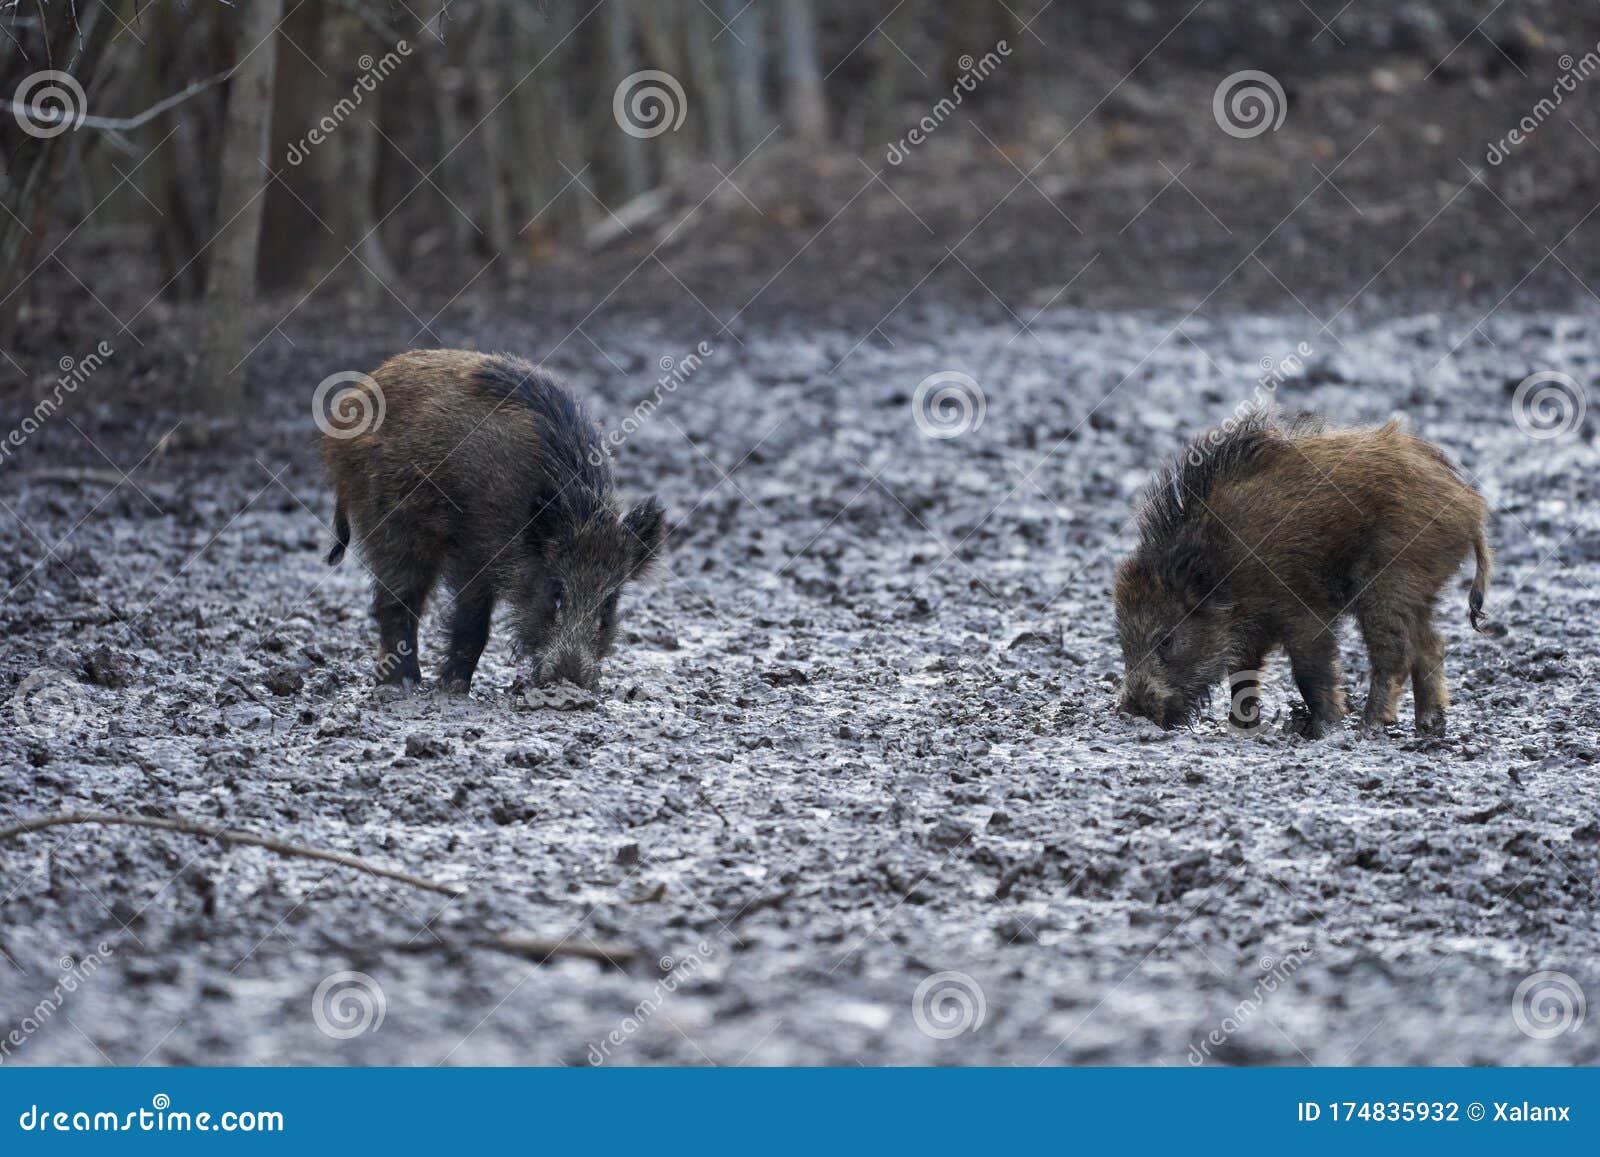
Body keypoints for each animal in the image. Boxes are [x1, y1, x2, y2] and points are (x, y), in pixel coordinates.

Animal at [321, 349, 664, 692]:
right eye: (556, 593)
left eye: (609, 604)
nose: (570, 682)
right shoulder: (474, 550)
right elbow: (473, 622)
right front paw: (453, 688)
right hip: (390, 522)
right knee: (395, 600)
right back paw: (402, 683)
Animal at [1114, 412, 1497, 738]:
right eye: (1123, 638)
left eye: (1165, 640)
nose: (1132, 710)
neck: (1226, 568)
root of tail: (1471, 506)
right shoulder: (1249, 633)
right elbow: (1242, 675)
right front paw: (1240, 729)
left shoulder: (1305, 612)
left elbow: (1311, 671)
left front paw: (1325, 727)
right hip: (1419, 590)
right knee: (1431, 644)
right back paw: (1428, 724)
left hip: (1391, 582)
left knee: (1395, 652)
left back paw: (1369, 726)